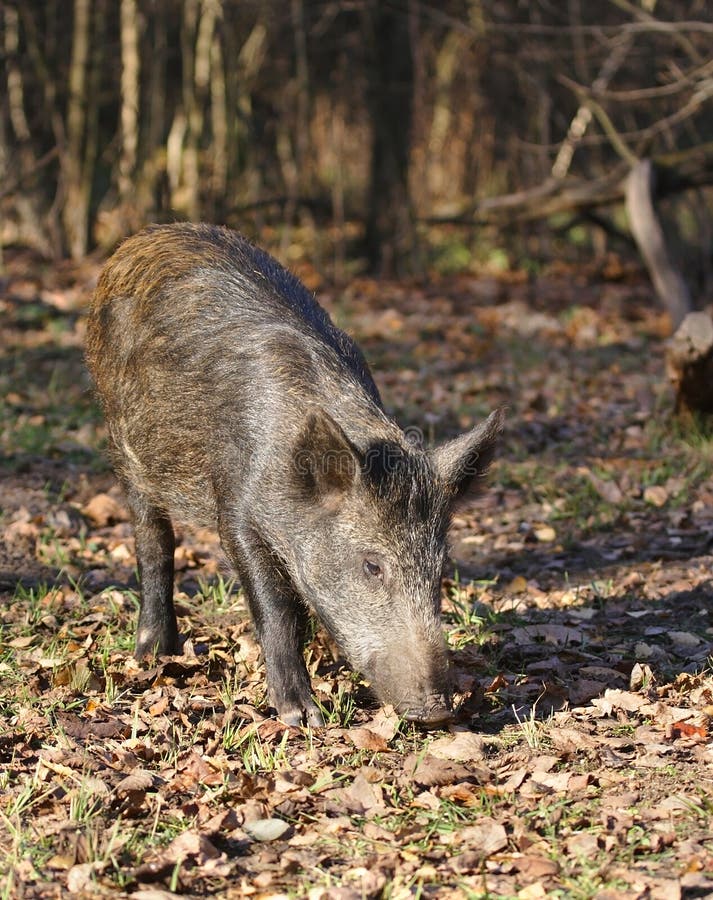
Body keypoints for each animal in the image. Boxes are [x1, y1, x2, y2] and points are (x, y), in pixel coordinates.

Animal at [85, 223, 503, 727]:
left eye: (440, 567)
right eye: (372, 565)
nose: (440, 712)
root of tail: (141, 239)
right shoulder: (237, 510)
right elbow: (279, 608)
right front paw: (302, 716)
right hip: (122, 443)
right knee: (153, 542)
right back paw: (151, 655)